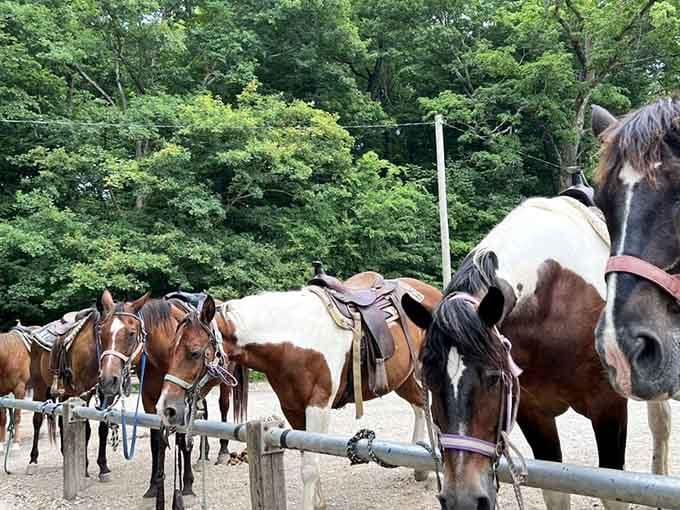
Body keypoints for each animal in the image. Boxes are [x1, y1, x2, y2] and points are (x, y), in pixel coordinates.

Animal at [95, 290, 244, 500]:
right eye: (101, 334)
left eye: (131, 333)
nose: (108, 380)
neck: (160, 357)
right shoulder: (151, 401)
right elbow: (156, 441)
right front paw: (154, 484)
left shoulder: (180, 401)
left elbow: (181, 439)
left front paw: (187, 485)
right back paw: (203, 455)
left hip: (223, 381)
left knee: (223, 407)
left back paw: (222, 451)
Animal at [157, 272, 442, 510]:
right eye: (171, 349)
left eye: (194, 352)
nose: (167, 408)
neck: (294, 340)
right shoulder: (293, 408)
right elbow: (308, 451)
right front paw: (320, 503)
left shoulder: (318, 406)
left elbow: (309, 466)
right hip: (403, 379)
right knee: (420, 406)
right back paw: (423, 467)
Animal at [401, 195, 671, 510]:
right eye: (430, 380)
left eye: (494, 378)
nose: (463, 500)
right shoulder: (534, 414)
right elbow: (555, 490)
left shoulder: (608, 408)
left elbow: (613, 493)